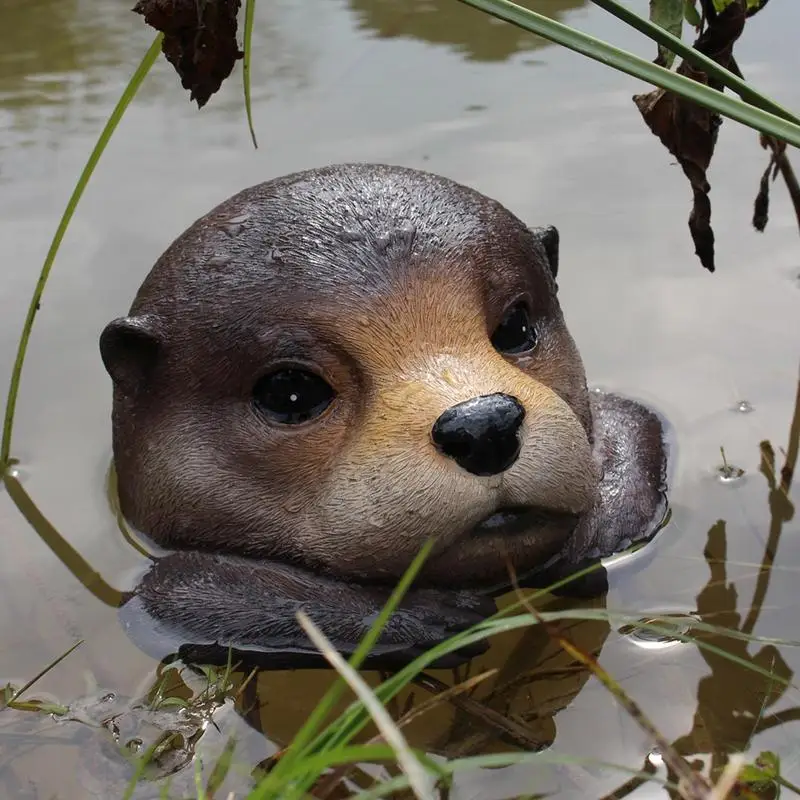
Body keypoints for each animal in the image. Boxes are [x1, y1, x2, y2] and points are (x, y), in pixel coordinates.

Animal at [101, 164, 669, 668]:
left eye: (514, 326)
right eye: (290, 392)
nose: (483, 425)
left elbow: (637, 425)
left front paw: (591, 534)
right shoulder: (166, 591)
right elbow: (181, 591)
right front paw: (421, 617)